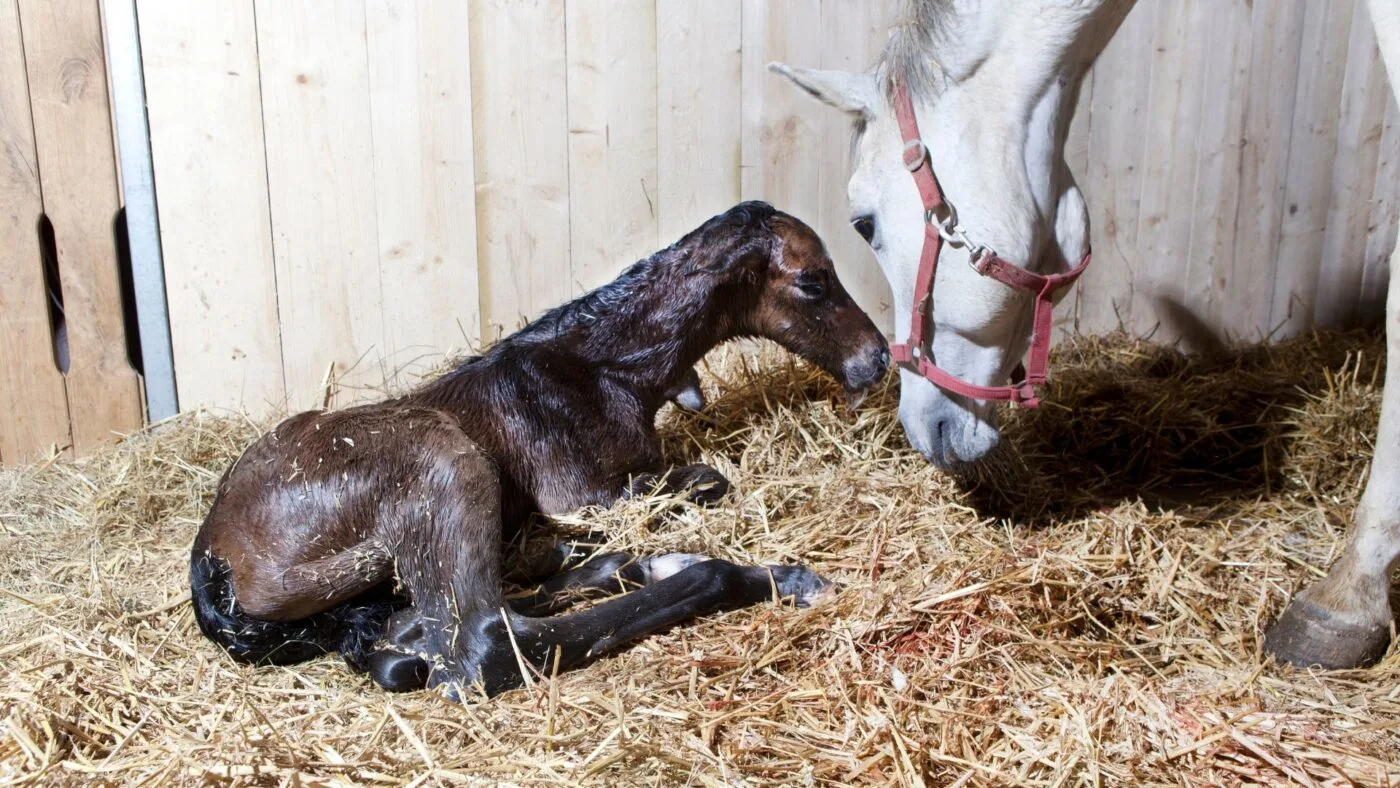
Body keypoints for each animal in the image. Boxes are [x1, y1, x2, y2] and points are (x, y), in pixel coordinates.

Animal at [189, 201, 890, 698]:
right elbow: (705, 480)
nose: (878, 356)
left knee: (421, 622)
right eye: (813, 281)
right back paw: (757, 575)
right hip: (445, 461)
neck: (603, 371)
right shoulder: (582, 495)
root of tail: (212, 553)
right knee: (484, 644)